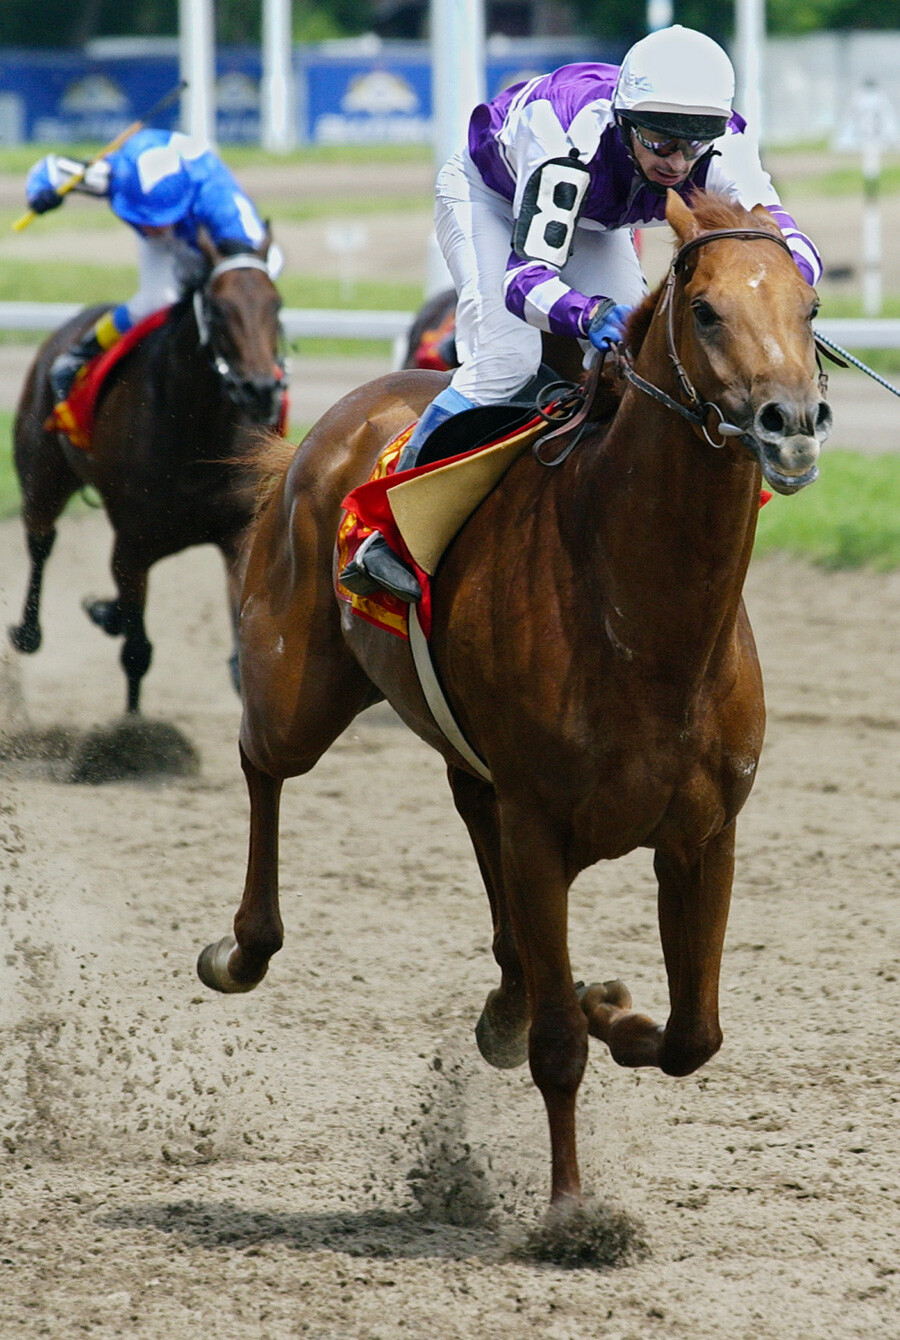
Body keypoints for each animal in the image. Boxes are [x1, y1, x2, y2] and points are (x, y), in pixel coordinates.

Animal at [8, 231, 286, 714]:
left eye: (276, 304)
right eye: (217, 309)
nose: (261, 390)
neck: (197, 433)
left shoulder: (239, 534)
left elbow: (241, 658)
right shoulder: (133, 545)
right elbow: (137, 653)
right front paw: (132, 726)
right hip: (43, 476)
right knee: (40, 541)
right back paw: (29, 631)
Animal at [196, 191, 831, 1210]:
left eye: (809, 310)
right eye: (705, 312)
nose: (793, 424)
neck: (644, 623)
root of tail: (335, 423)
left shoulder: (704, 833)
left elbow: (693, 1035)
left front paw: (607, 1006)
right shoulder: (540, 829)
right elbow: (560, 1047)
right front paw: (572, 1210)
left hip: (467, 751)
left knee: (471, 821)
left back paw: (511, 995)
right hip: (296, 684)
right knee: (264, 762)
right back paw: (244, 948)